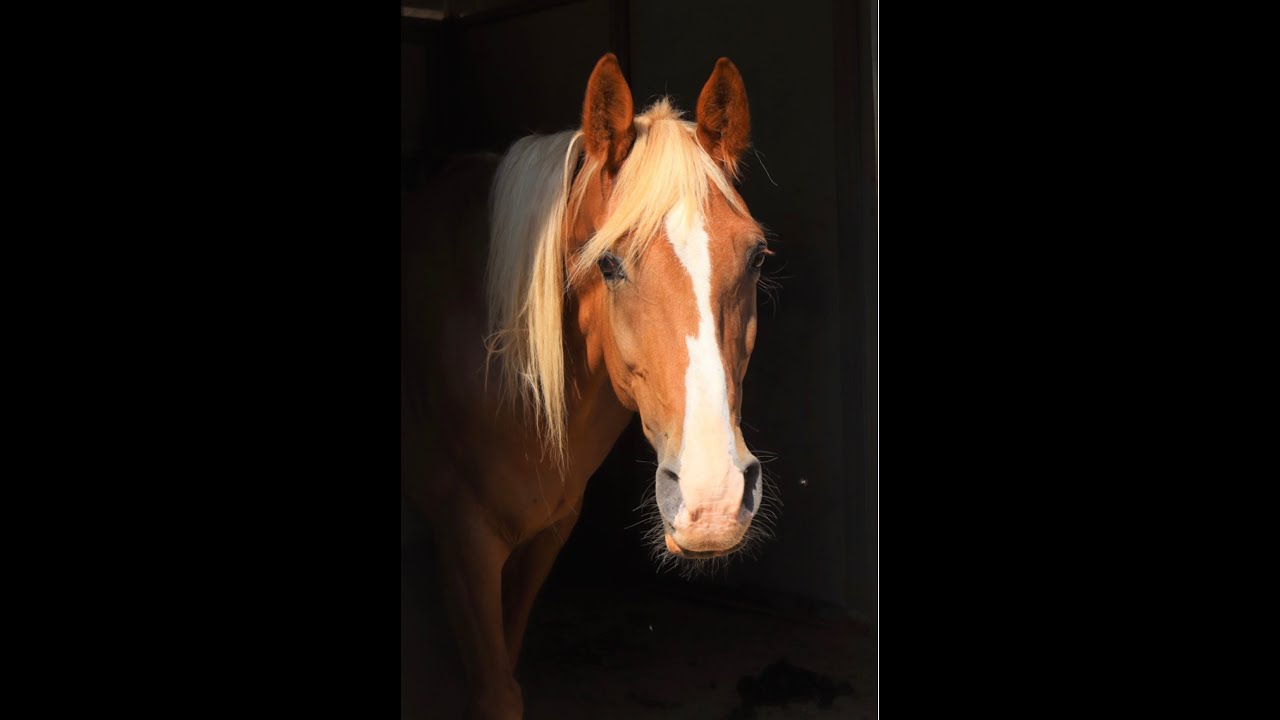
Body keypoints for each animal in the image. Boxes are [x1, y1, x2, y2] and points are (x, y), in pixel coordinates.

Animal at [401, 53, 773, 719]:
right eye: (608, 263)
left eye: (755, 256)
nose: (713, 500)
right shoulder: (463, 539)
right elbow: (495, 693)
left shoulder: (546, 535)